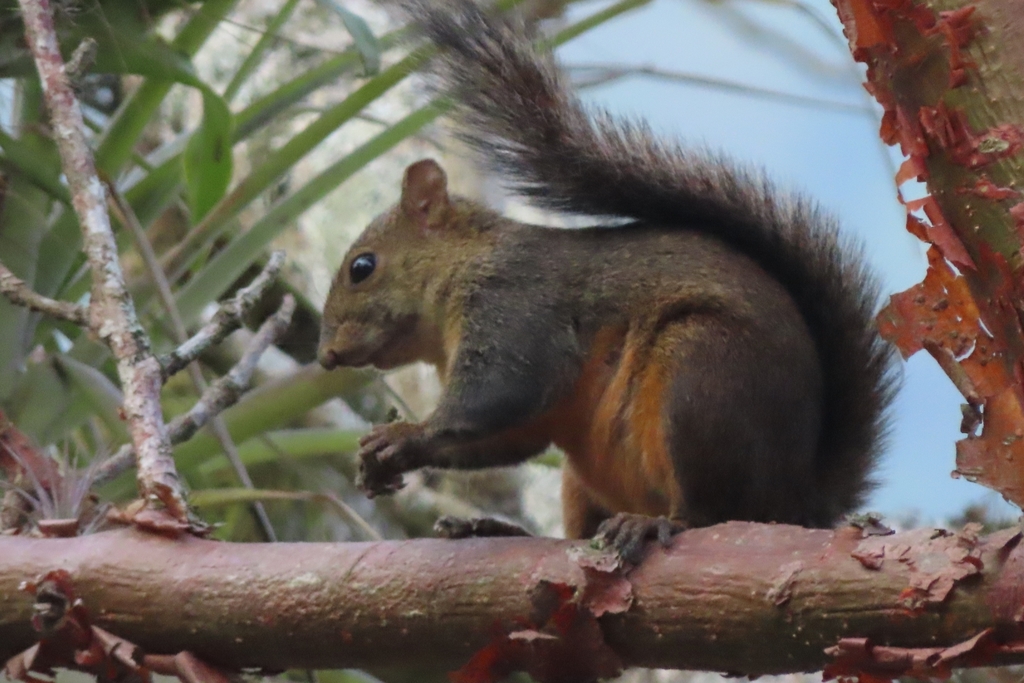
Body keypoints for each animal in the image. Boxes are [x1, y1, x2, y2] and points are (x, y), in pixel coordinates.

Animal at [318, 0, 898, 562]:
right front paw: (384, 460)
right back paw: (495, 528)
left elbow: (501, 395)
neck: (465, 265)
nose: (324, 357)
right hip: (587, 476)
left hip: (702, 380)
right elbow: (505, 438)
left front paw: (404, 436)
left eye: (362, 267)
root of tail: (798, 501)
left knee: (713, 512)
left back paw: (658, 523)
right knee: (580, 533)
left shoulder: (514, 304)